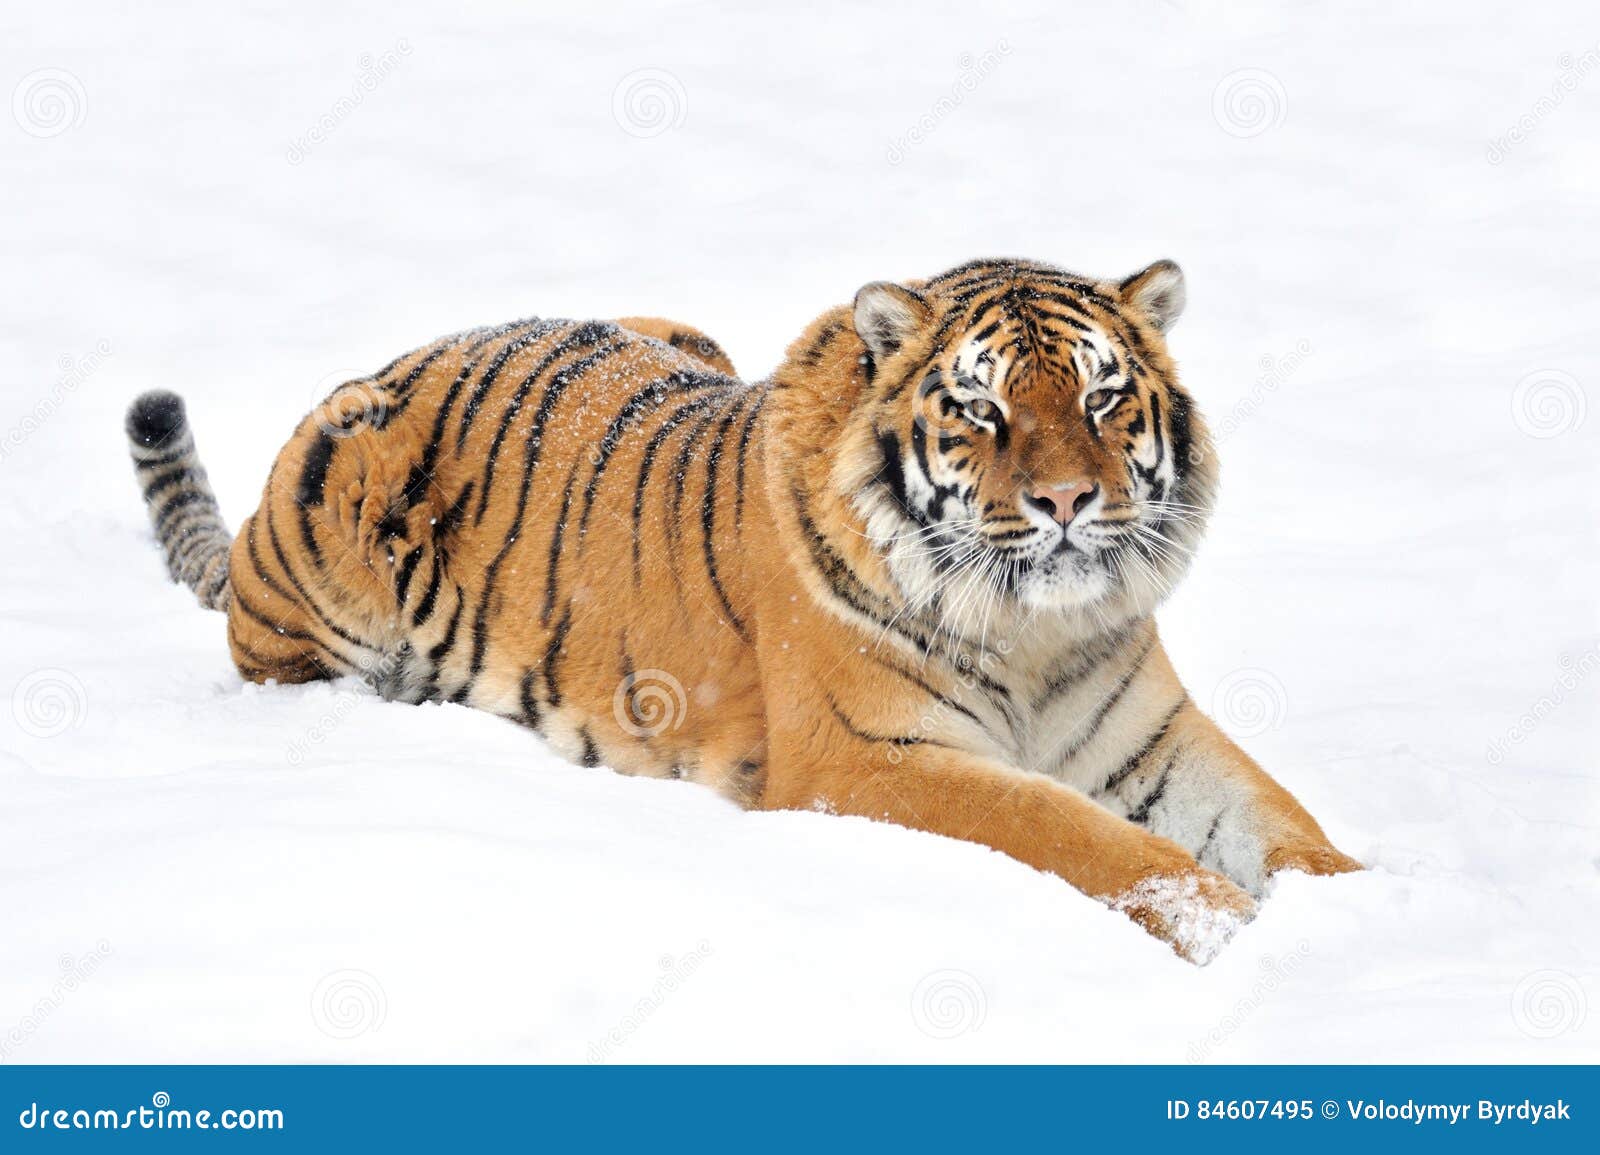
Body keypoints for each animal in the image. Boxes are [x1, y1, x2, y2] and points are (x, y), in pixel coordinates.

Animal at [125, 260, 1360, 963]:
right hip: (333, 505)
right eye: (980, 408)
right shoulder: (869, 758)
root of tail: (397, 356)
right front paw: (1233, 937)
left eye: (1103, 398)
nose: (1067, 501)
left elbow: (1280, 823)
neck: (1035, 629)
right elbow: (1087, 841)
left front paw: (1370, 917)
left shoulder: (1148, 737)